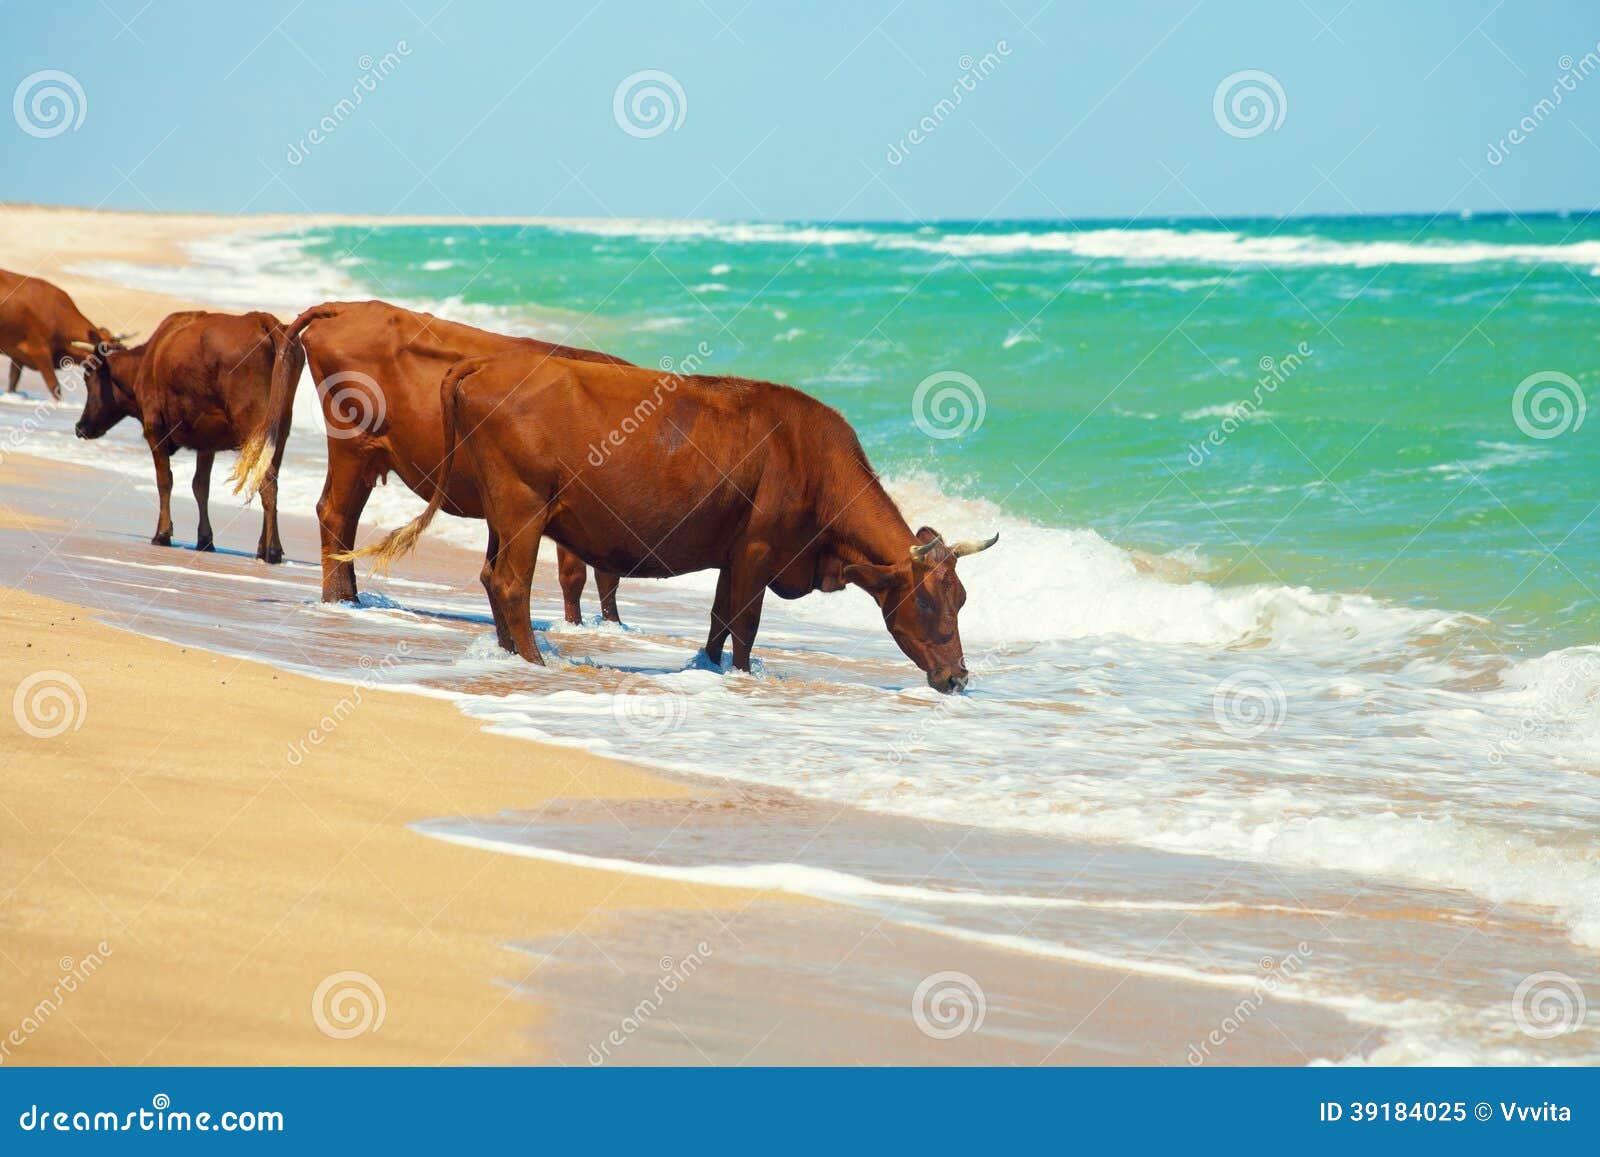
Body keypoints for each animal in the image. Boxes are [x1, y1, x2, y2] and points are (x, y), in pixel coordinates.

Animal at [74, 310, 302, 563]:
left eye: (87, 377)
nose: (79, 427)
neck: (147, 361)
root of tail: (263, 320)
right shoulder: (207, 442)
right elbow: (200, 486)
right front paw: (205, 539)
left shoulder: (155, 429)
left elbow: (165, 480)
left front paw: (162, 533)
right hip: (281, 429)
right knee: (267, 477)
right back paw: (265, 547)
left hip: (254, 423)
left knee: (267, 480)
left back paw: (271, 551)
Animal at [231, 300, 633, 622]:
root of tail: (347, 307)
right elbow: (584, 573)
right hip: (353, 444)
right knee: (335, 512)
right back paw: (340, 599)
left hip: (367, 456)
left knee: (346, 518)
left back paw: (351, 597)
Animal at [344, 352, 998, 692]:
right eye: (931, 600)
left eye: (965, 598)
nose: (959, 677)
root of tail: (488, 362)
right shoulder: (759, 548)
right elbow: (746, 623)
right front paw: (742, 677)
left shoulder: (735, 552)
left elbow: (717, 618)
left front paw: (707, 667)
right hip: (523, 507)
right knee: (510, 583)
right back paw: (534, 662)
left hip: (502, 517)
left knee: (490, 578)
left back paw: (509, 655)